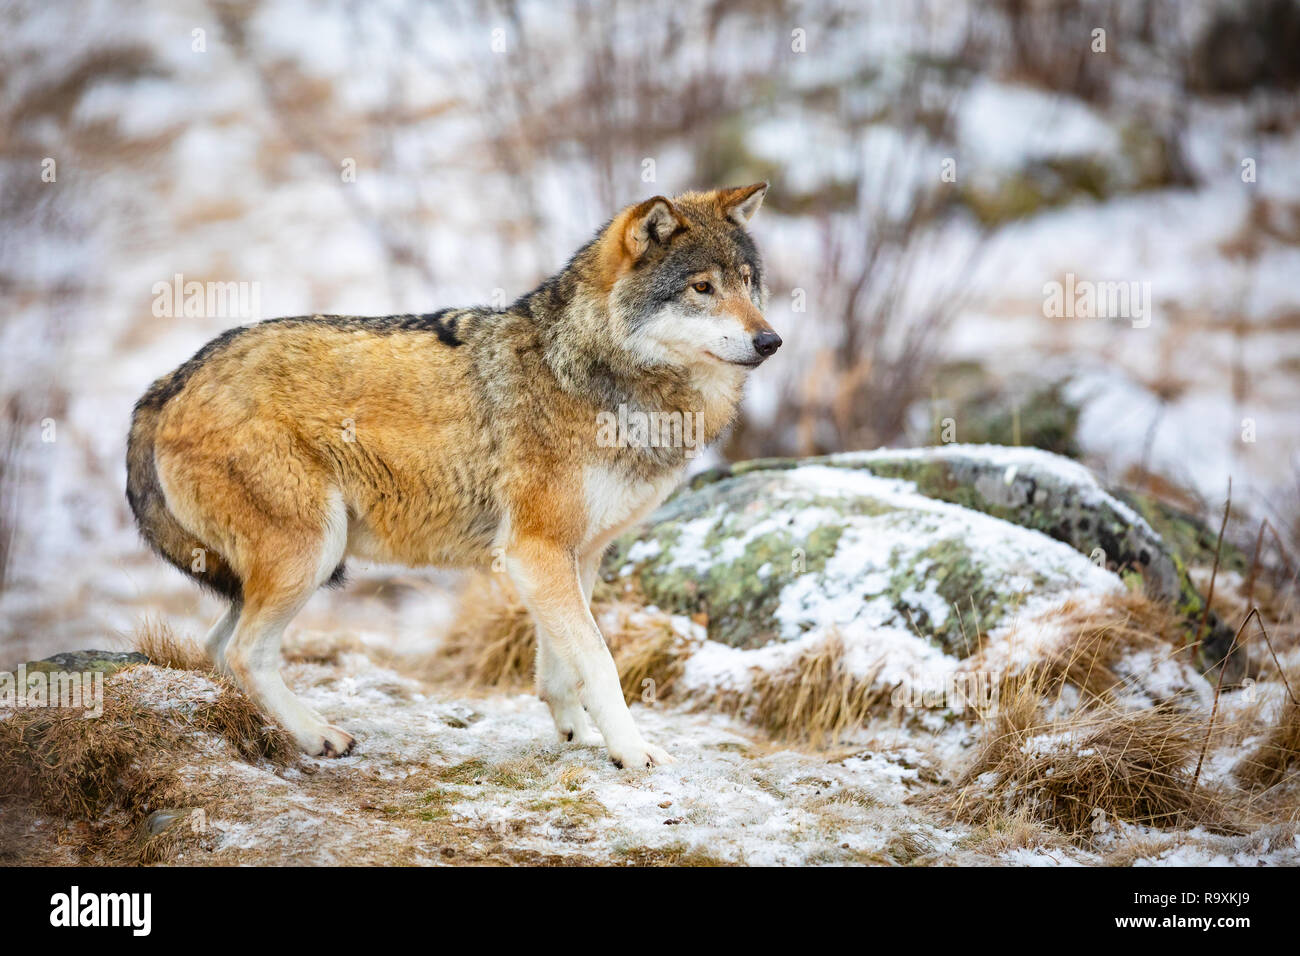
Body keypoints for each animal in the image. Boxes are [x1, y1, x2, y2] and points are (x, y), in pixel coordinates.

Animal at [126, 183, 780, 768]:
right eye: (702, 288)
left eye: (749, 283)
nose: (771, 340)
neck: (594, 372)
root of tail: (171, 380)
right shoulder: (536, 549)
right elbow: (599, 660)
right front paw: (633, 751)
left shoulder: (576, 554)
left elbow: (560, 666)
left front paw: (577, 734)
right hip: (313, 552)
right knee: (244, 653)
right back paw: (319, 736)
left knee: (215, 645)